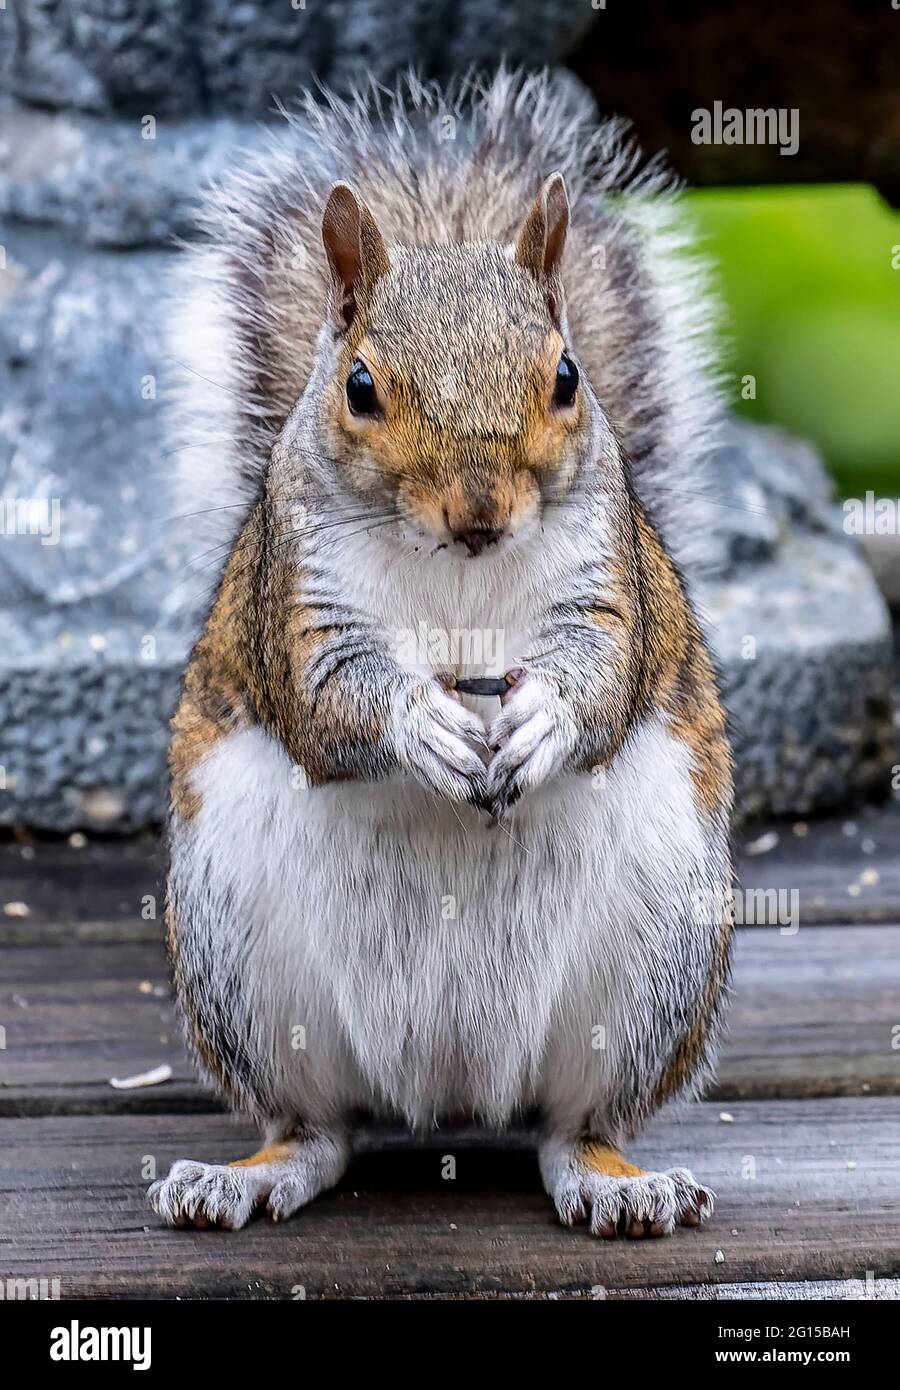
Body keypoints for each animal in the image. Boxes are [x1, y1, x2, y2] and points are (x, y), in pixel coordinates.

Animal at [149, 69, 733, 1240]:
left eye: (568, 377)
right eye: (361, 387)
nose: (479, 510)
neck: (456, 574)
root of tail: (453, 1088)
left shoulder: (610, 586)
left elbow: (604, 678)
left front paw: (547, 717)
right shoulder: (298, 603)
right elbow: (328, 703)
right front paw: (420, 722)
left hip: (657, 962)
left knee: (574, 1124)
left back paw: (616, 1180)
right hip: (242, 960)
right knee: (317, 1128)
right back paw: (248, 1173)